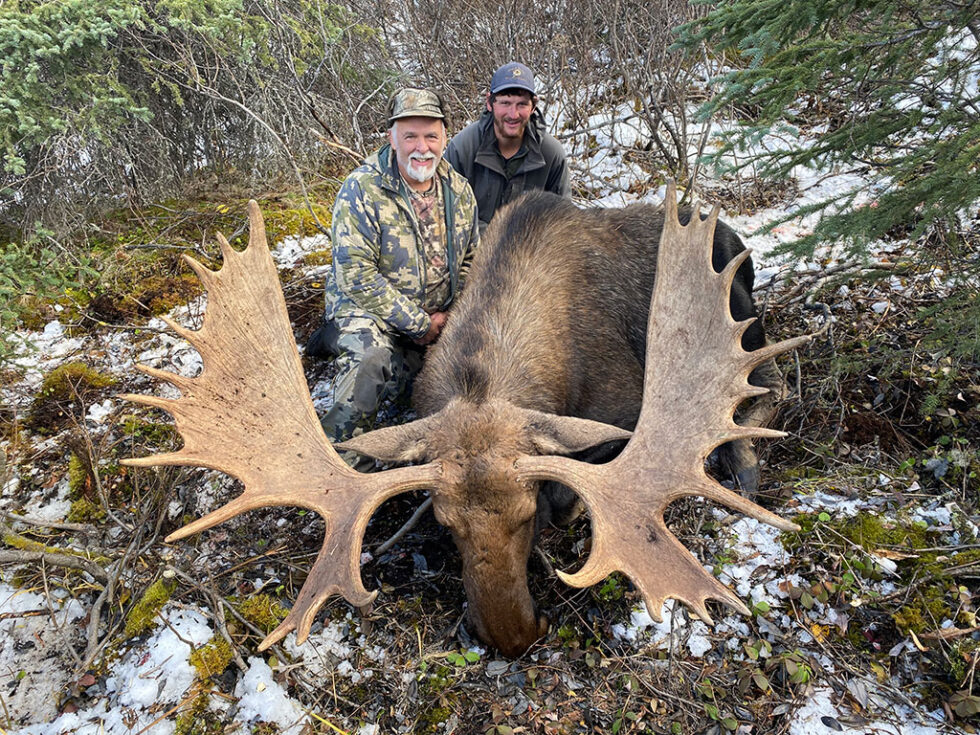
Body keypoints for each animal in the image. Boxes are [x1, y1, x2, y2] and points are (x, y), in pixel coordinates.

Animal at [121, 183, 810, 657]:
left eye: (528, 514)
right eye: (447, 525)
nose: (514, 634)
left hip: (744, 309)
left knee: (773, 383)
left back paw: (745, 464)